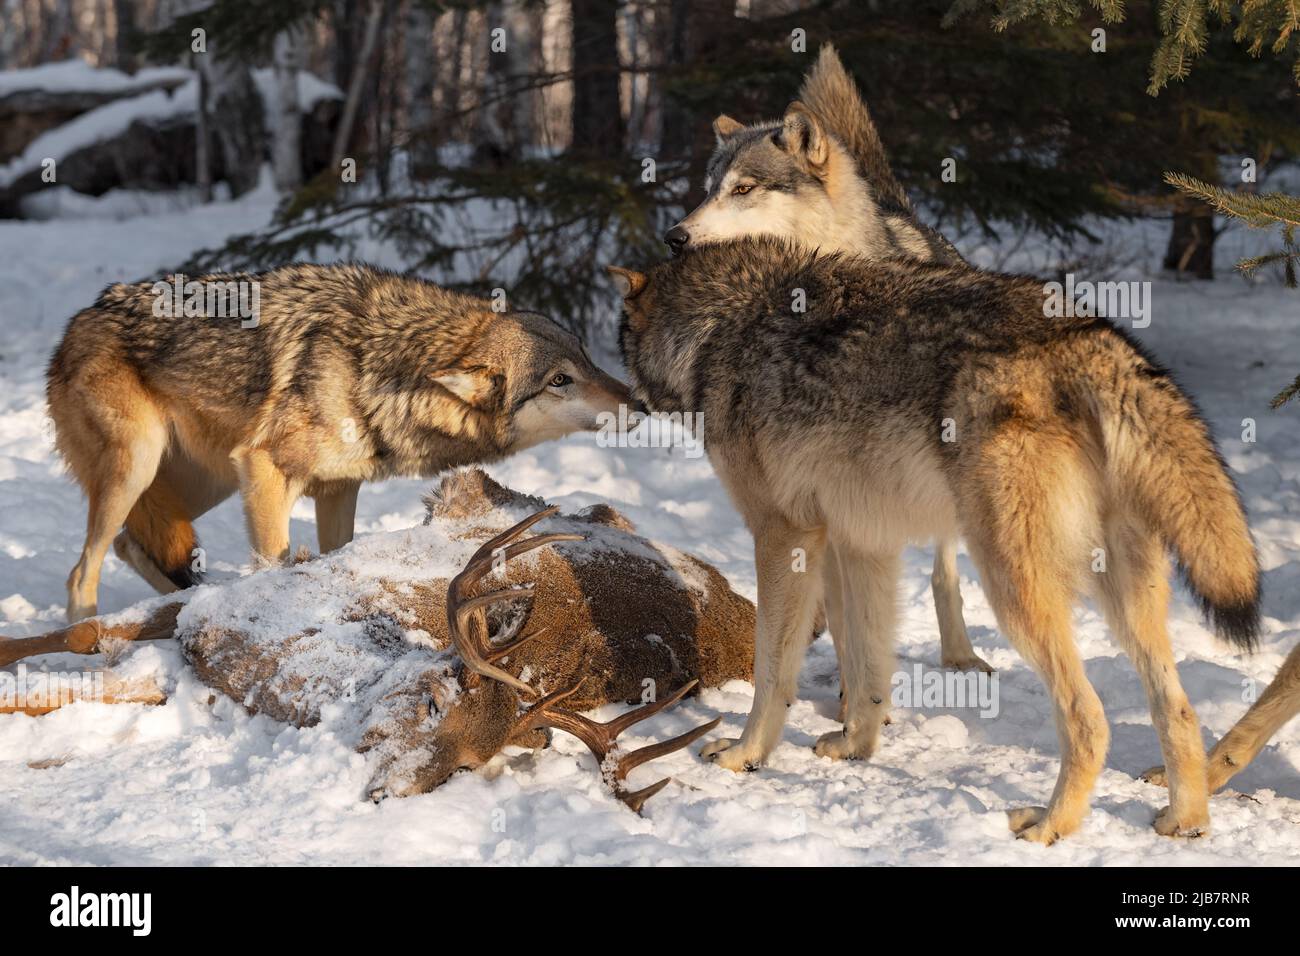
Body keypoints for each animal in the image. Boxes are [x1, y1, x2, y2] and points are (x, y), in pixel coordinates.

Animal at [47, 263, 634, 622]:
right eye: (559, 380)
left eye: (587, 359)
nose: (640, 402)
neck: (377, 365)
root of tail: (79, 318)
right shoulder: (266, 470)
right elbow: (275, 562)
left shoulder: (337, 491)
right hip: (141, 468)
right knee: (80, 574)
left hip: (204, 482)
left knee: (132, 544)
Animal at [612, 237, 1261, 843]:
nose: (623, 404)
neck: (722, 327)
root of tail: (1089, 340)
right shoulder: (861, 543)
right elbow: (867, 663)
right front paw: (855, 747)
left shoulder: (784, 534)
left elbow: (773, 668)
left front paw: (745, 756)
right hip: (1126, 600)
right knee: (1177, 708)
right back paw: (1185, 821)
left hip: (1012, 588)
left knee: (1088, 716)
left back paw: (1049, 825)